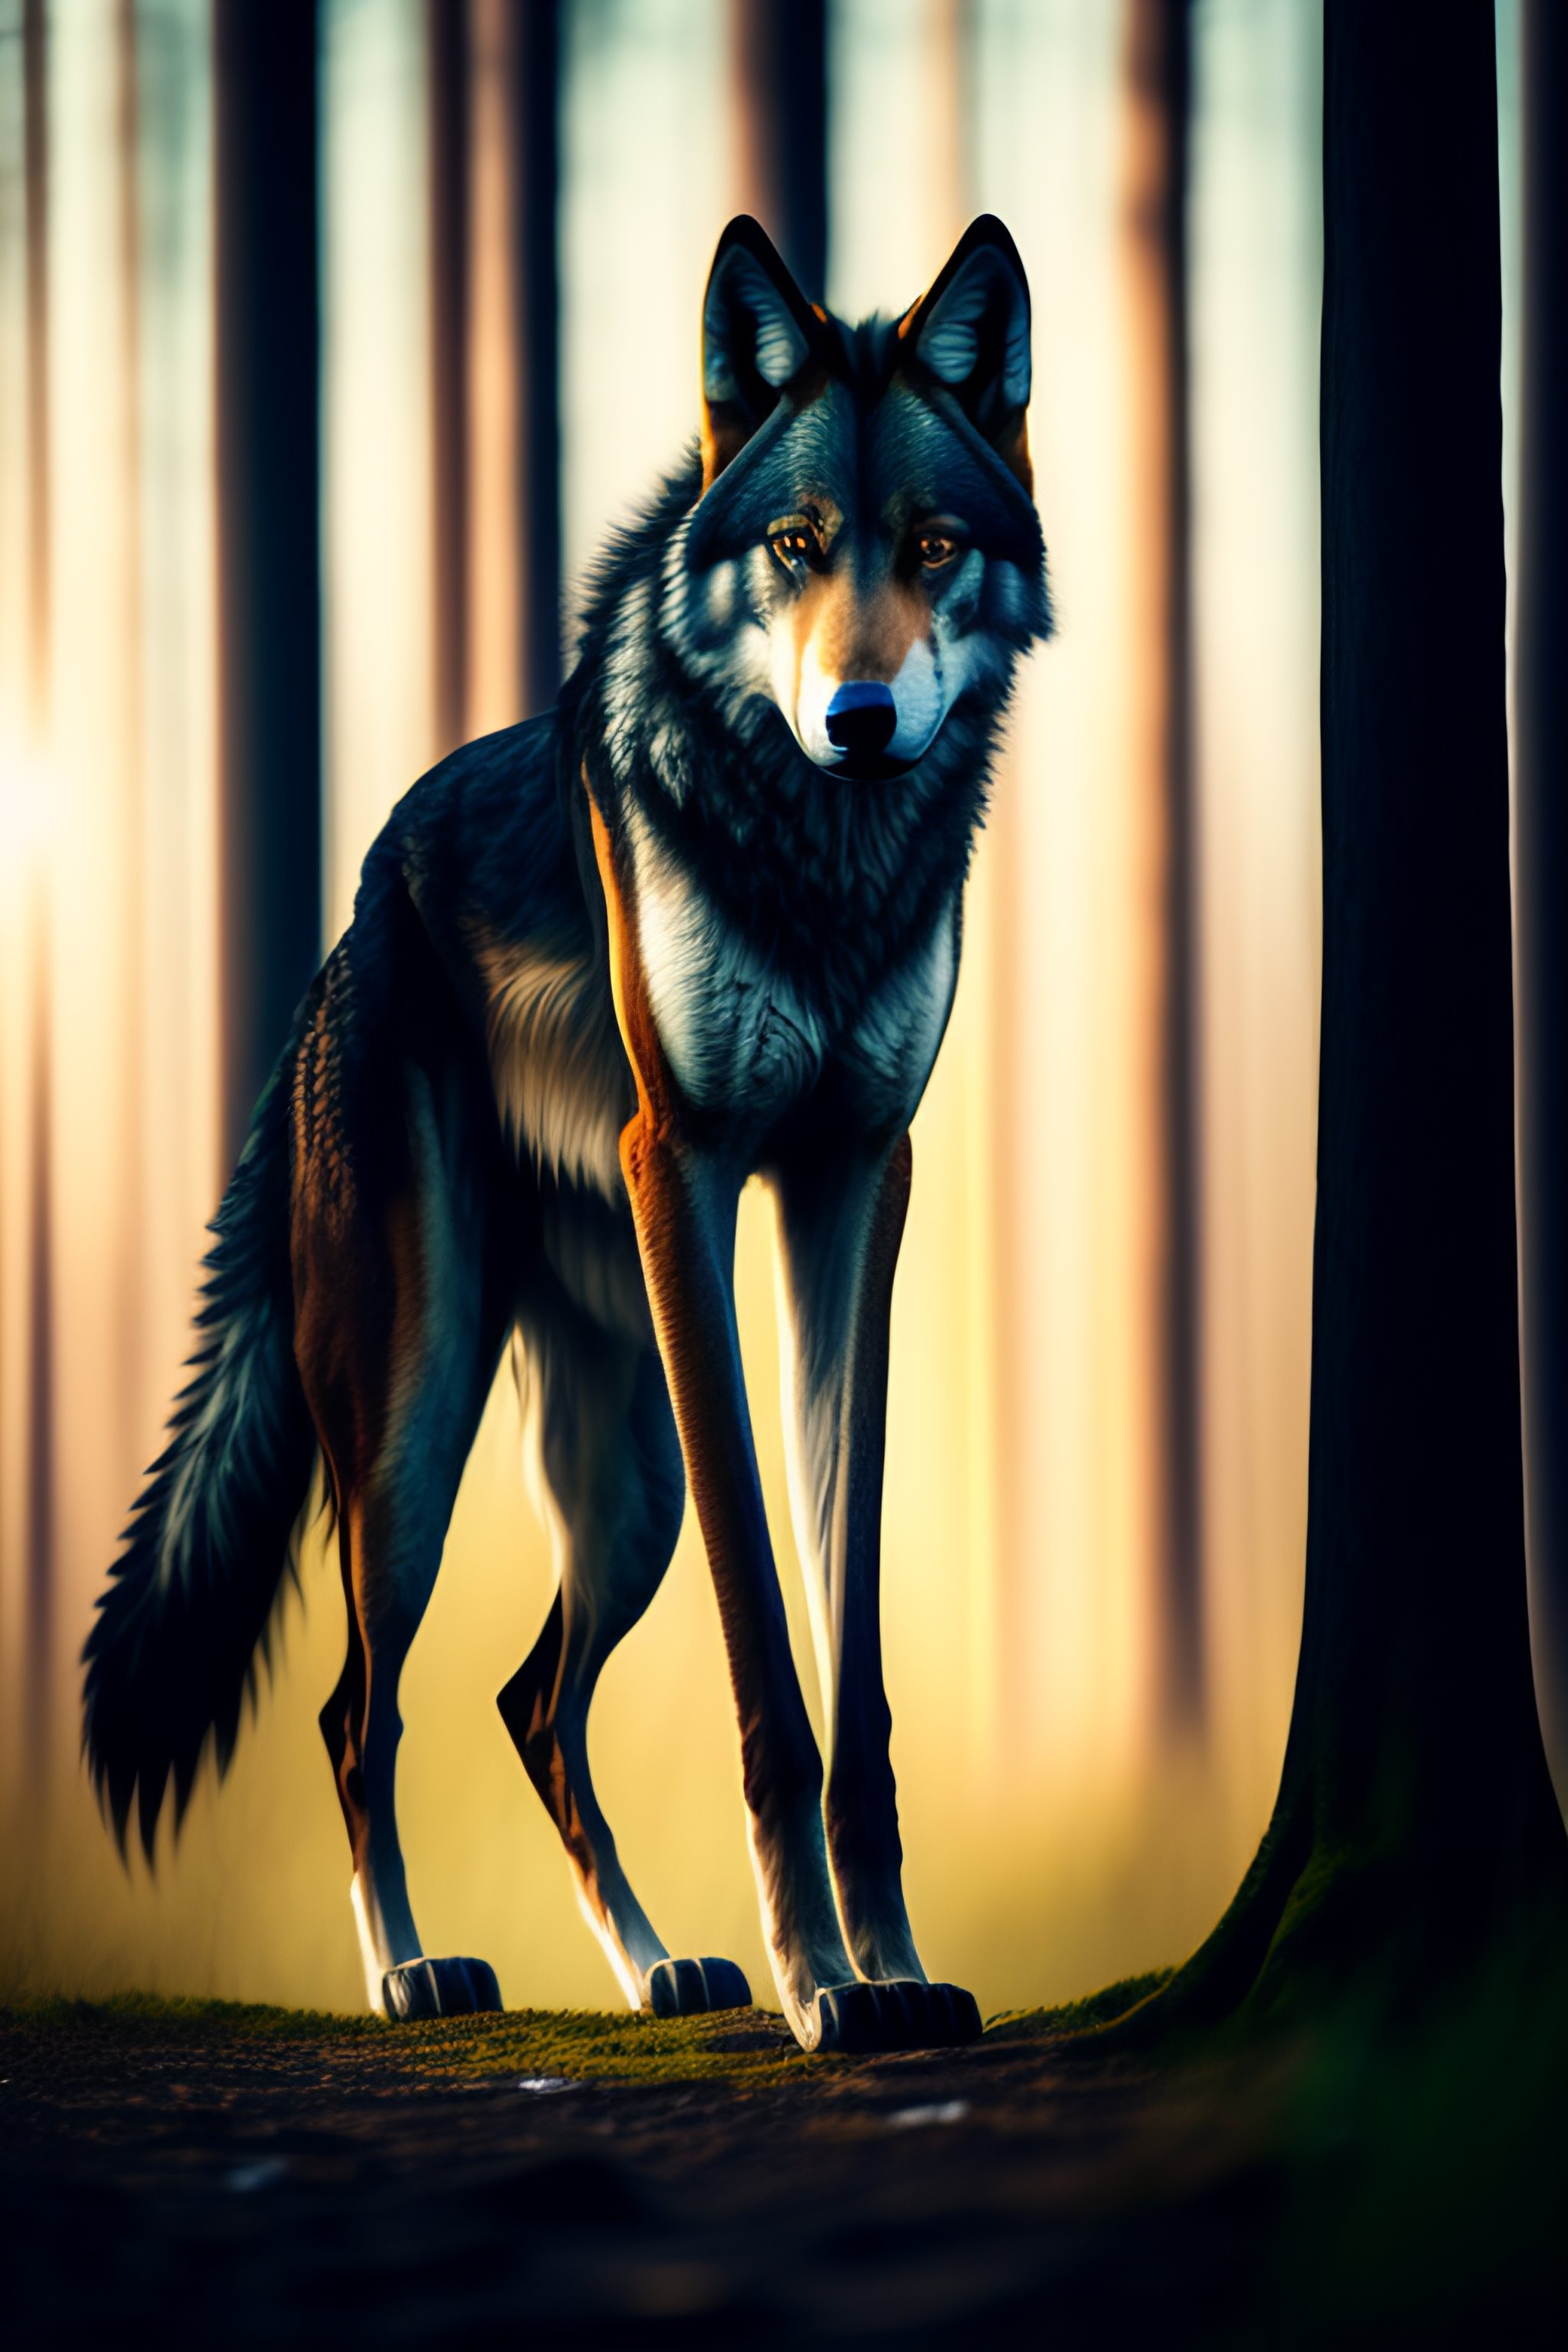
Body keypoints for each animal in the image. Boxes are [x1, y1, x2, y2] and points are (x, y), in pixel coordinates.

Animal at [83, 215, 1049, 2054]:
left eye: (933, 547)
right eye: (799, 545)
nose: (861, 721)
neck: (823, 863)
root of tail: (344, 935)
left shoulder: (854, 1183)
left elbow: (853, 1663)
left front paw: (888, 1967)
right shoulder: (686, 1173)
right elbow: (768, 1668)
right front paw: (823, 1988)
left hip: (624, 1478)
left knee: (531, 1696)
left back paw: (664, 1968)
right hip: (419, 1424)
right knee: (357, 1708)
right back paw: (412, 1971)